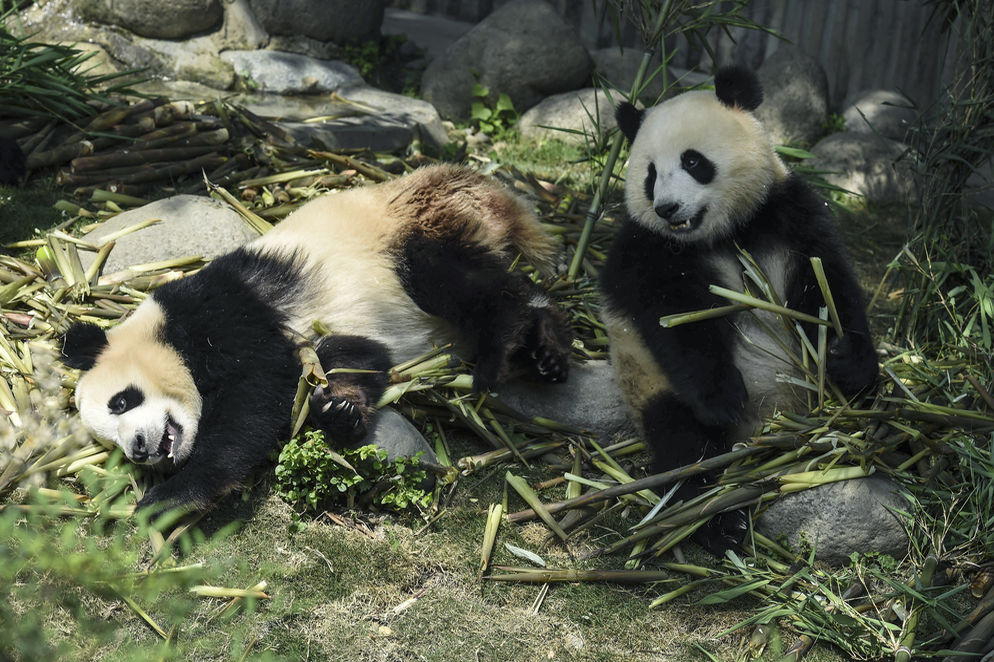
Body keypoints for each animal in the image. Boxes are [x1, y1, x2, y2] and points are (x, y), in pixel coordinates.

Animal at [62, 164, 571, 512]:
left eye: (120, 402)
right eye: (111, 441)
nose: (139, 449)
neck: (165, 331)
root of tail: (475, 187)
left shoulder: (226, 314)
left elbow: (252, 403)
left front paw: (168, 499)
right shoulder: (326, 334)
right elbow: (351, 357)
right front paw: (342, 411)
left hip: (418, 231)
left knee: (459, 281)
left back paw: (499, 349)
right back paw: (546, 350)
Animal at [599, 66, 878, 555]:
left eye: (693, 162)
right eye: (650, 174)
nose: (667, 208)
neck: (720, 234)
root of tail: (764, 432)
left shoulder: (786, 212)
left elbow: (827, 283)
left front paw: (847, 358)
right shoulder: (645, 251)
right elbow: (675, 322)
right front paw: (723, 398)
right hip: (653, 386)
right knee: (684, 447)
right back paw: (716, 518)